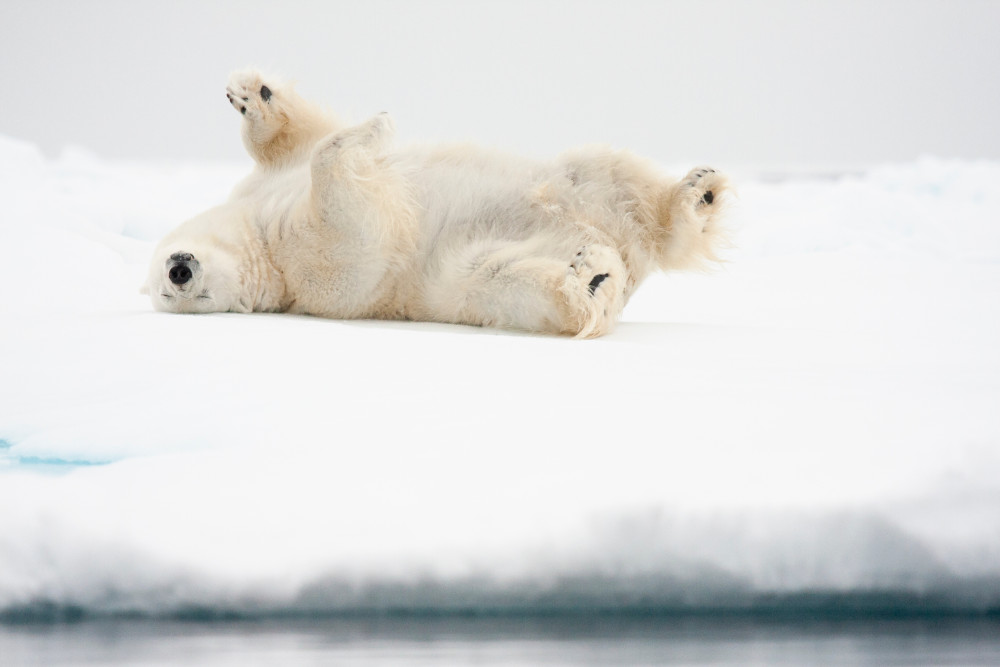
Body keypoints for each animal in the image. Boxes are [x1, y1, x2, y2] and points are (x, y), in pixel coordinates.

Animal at [143, 69, 728, 338]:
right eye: (169, 295)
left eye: (164, 274)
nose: (179, 270)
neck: (257, 235)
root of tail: (630, 257)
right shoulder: (307, 271)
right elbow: (356, 232)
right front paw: (378, 126)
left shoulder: (263, 188)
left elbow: (300, 140)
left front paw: (251, 93)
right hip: (473, 278)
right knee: (507, 280)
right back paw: (591, 279)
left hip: (579, 189)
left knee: (611, 177)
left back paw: (700, 192)